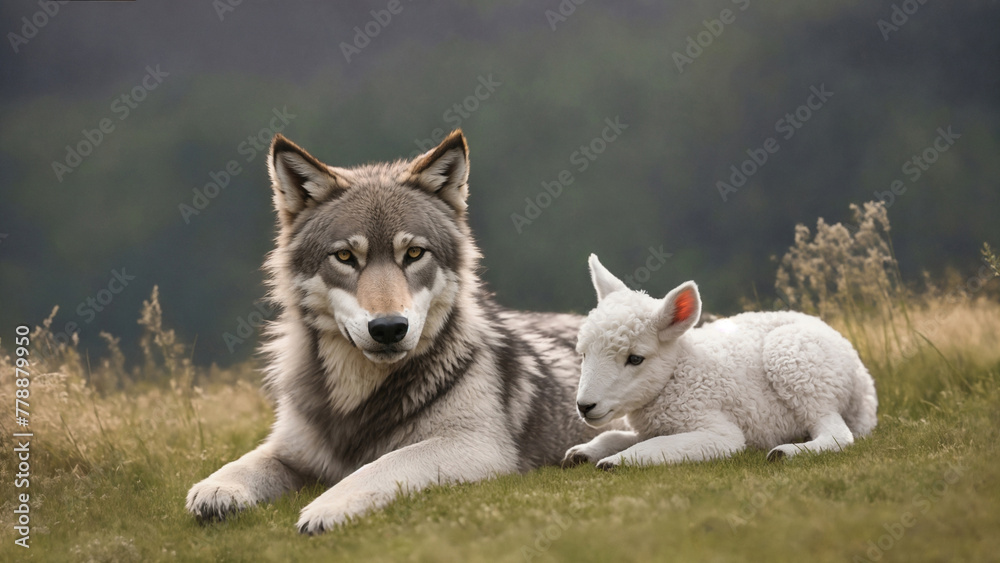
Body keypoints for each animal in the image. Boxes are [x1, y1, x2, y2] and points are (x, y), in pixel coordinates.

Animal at [185, 129, 605, 534]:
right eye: (345, 256)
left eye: (414, 253)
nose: (388, 328)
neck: (358, 400)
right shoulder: (290, 448)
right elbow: (245, 462)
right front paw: (217, 488)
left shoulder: (479, 446)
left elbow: (378, 466)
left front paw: (327, 508)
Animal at [562, 254, 877, 470]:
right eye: (584, 354)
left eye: (635, 358)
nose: (584, 406)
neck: (677, 373)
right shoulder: (657, 426)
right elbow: (621, 435)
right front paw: (583, 451)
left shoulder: (716, 428)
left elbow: (662, 445)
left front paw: (616, 461)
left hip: (799, 366)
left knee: (836, 432)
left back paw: (785, 451)